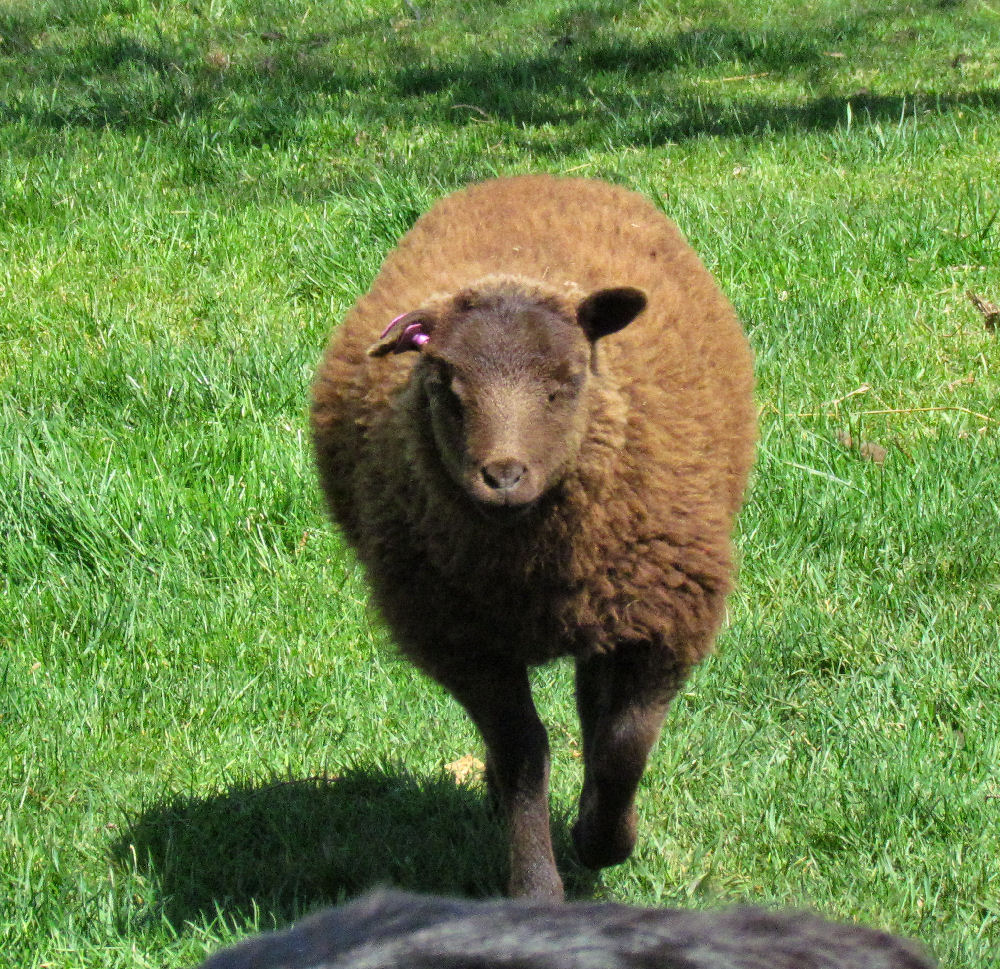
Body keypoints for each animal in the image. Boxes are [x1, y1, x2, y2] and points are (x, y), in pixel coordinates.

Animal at [310, 176, 757, 899]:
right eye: (444, 386)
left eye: (566, 381)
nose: (502, 476)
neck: (531, 561)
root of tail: (535, 178)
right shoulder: (465, 642)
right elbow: (524, 751)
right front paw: (538, 884)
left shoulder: (659, 619)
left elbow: (623, 742)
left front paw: (603, 839)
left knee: (593, 708)